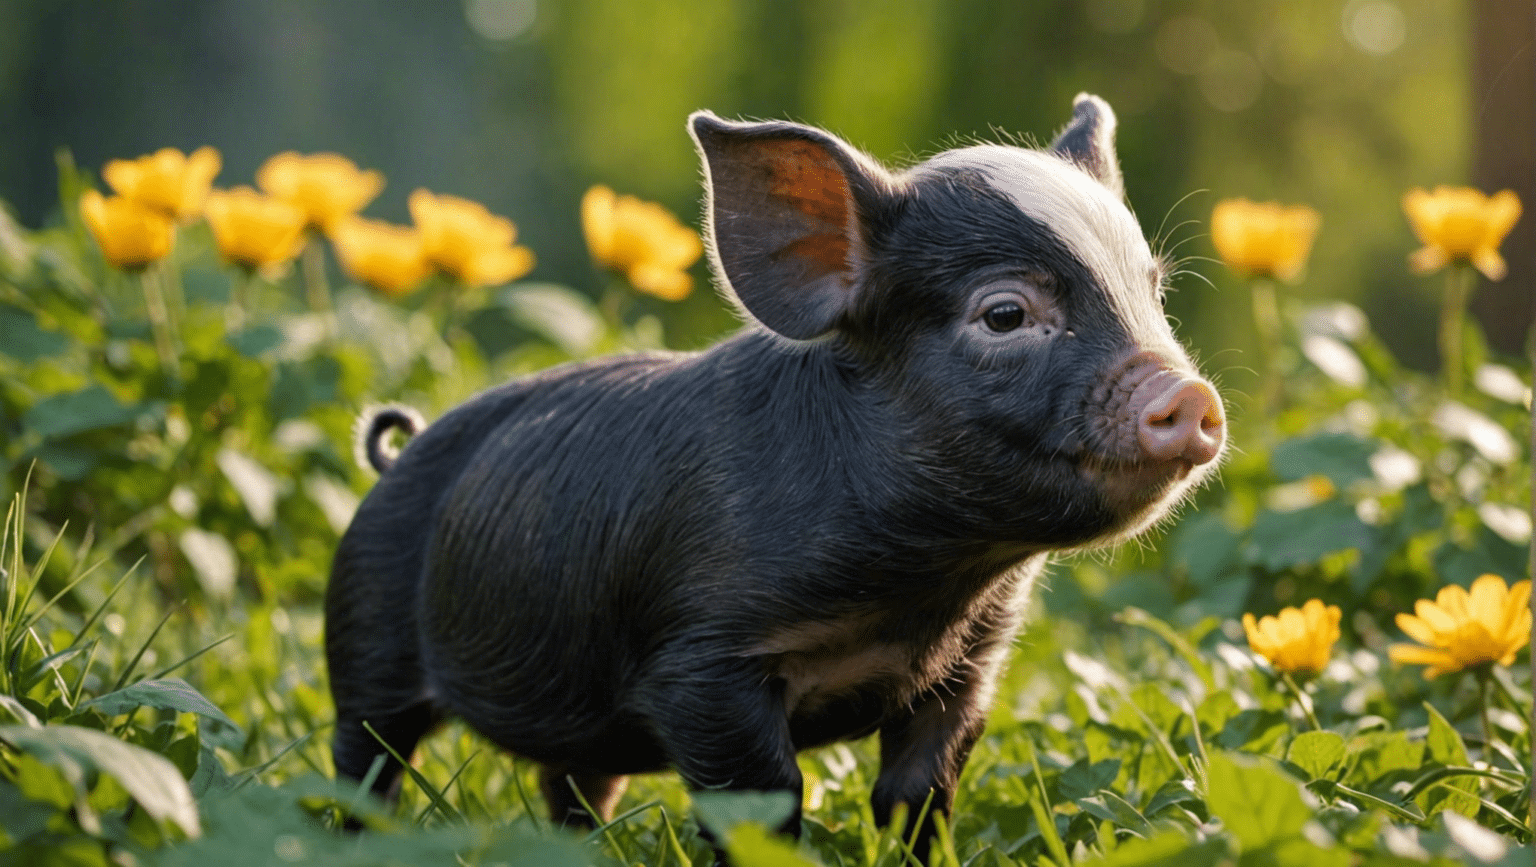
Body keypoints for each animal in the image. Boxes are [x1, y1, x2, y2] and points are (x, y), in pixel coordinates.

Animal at [325, 94, 1225, 860]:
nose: (1190, 394)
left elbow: (919, 794)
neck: (918, 592)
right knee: (365, 763)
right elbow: (764, 798)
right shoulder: (702, 666)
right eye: (1004, 314)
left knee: (574, 784)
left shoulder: (970, 665)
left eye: (1155, 295)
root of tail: (395, 457)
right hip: (364, 631)